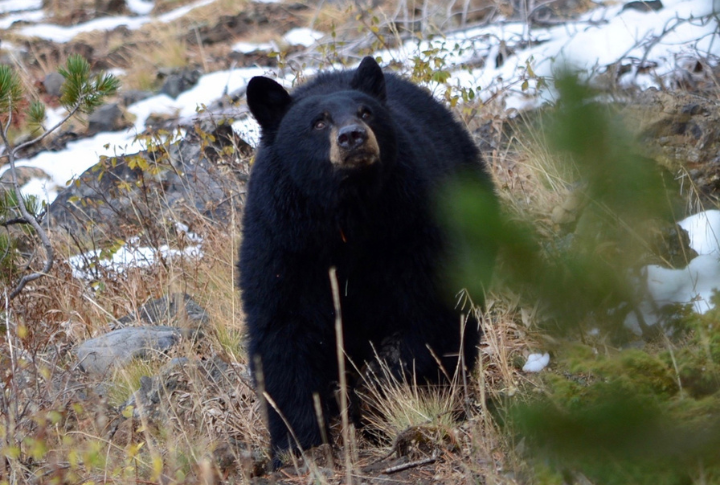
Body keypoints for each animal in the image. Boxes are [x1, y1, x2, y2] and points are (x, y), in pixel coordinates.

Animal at [239, 56, 496, 460]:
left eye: (366, 112)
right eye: (318, 121)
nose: (352, 136)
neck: (347, 213)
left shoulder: (410, 223)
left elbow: (427, 305)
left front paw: (376, 388)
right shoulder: (283, 242)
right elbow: (282, 331)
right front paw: (299, 443)